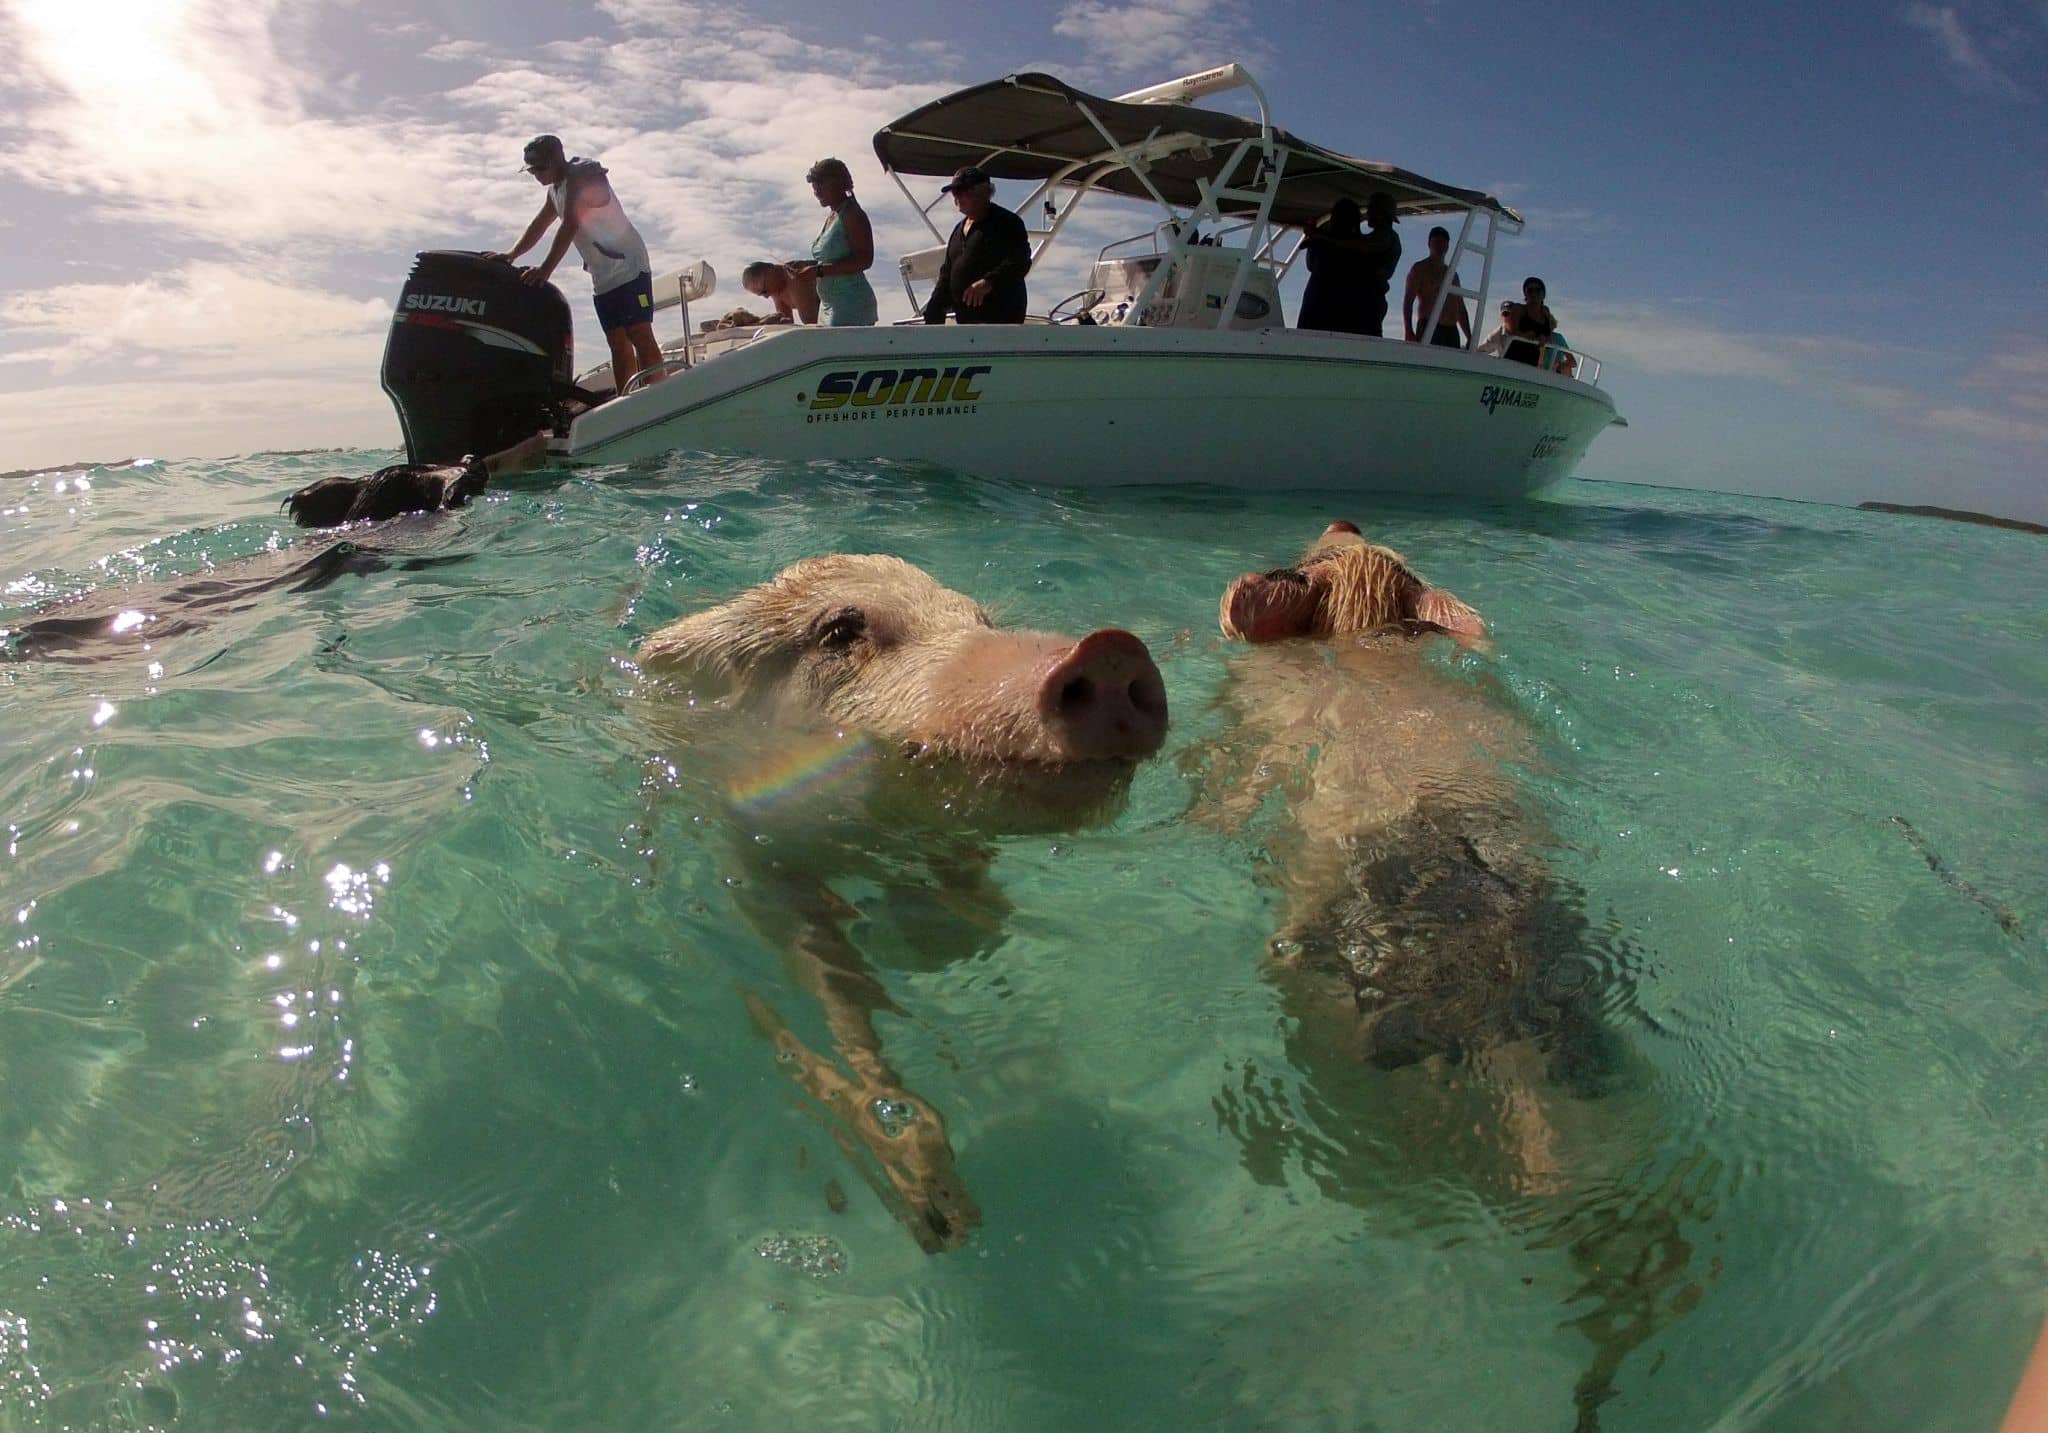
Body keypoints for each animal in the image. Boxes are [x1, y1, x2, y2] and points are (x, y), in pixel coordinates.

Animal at [637, 554, 1169, 1250]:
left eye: (981, 621)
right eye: (840, 631)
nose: (1113, 652)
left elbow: (965, 919)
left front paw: (910, 935)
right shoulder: (752, 848)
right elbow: (830, 981)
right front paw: (941, 1214)